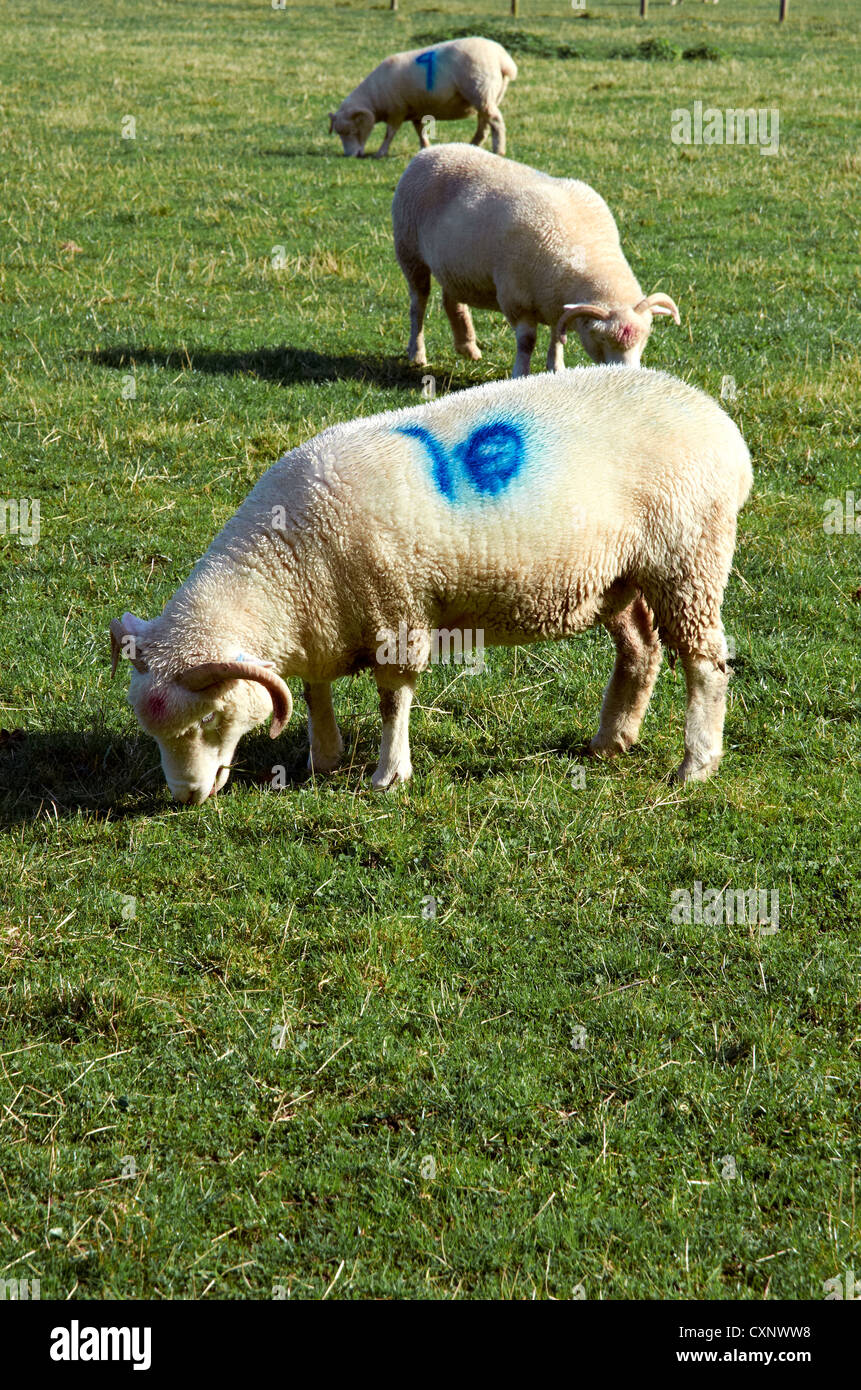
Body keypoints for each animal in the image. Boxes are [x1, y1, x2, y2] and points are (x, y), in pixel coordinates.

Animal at [110, 366, 751, 805]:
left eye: (208, 721)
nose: (185, 797)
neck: (281, 567)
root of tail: (715, 419)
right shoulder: (324, 622)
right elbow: (315, 690)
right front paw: (324, 758)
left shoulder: (396, 612)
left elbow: (393, 699)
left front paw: (388, 775)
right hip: (619, 576)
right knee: (640, 647)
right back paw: (613, 740)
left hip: (689, 557)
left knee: (706, 663)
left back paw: (695, 765)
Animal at [328, 37, 517, 159]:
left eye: (353, 131)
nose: (350, 155)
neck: (375, 96)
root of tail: (502, 59)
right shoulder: (416, 111)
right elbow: (420, 130)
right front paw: (425, 147)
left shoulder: (397, 110)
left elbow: (390, 133)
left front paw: (381, 153)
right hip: (487, 96)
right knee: (484, 124)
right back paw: (474, 145)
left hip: (480, 90)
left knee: (495, 121)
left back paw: (499, 150)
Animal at [392, 144, 680, 376]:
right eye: (599, 338)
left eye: (645, 338)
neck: (588, 248)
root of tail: (431, 150)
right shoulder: (517, 300)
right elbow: (527, 342)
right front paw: (520, 373)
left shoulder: (555, 301)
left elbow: (556, 336)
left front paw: (556, 367)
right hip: (409, 251)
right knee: (418, 305)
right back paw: (417, 354)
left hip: (456, 266)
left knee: (451, 300)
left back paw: (468, 347)